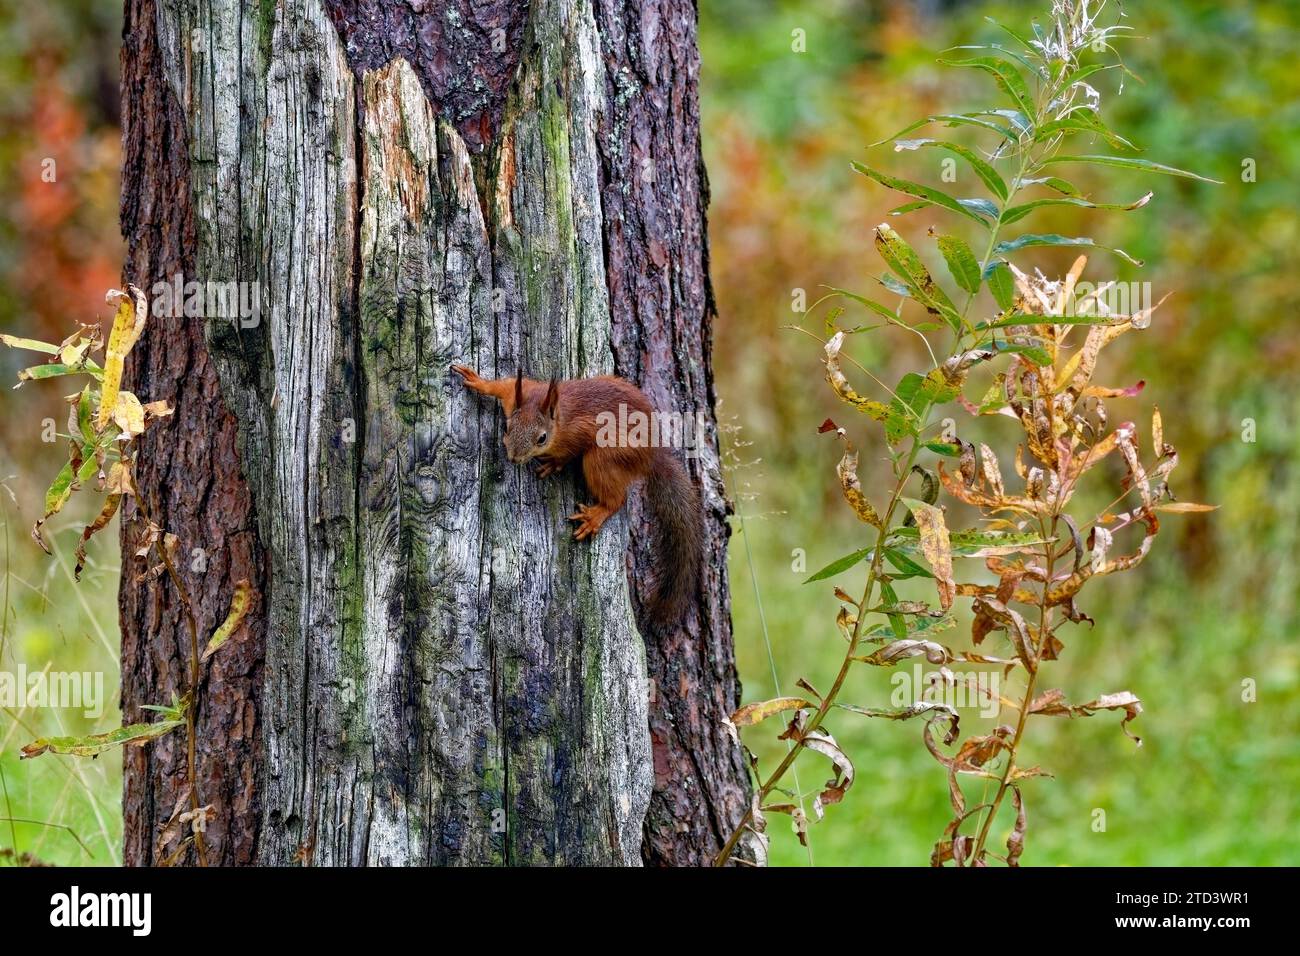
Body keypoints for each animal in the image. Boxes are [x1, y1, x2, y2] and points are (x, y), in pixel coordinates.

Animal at [452, 364, 702, 625]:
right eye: (508, 426)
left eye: (541, 438)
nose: (514, 458)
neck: (557, 418)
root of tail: (653, 455)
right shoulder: (523, 392)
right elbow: (505, 385)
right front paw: (477, 381)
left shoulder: (578, 433)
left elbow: (570, 452)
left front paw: (554, 463)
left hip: (604, 457)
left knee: (617, 498)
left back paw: (596, 515)